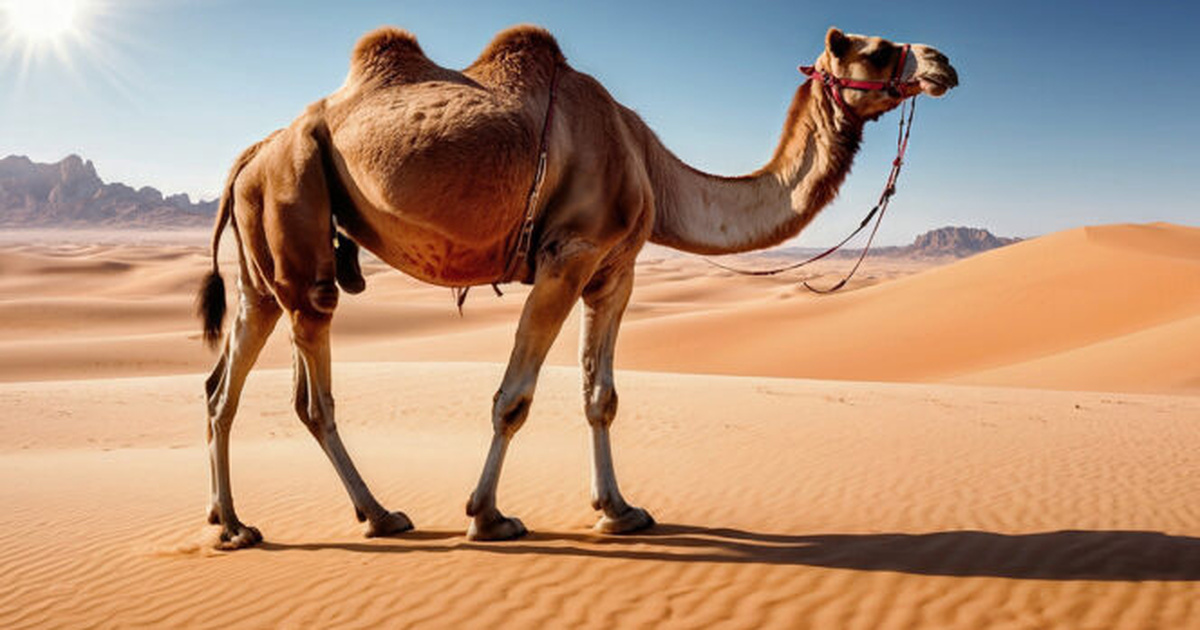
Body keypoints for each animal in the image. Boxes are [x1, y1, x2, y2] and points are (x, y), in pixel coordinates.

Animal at [196, 24, 958, 548]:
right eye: (877, 49)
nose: (944, 63)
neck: (647, 160)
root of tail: (252, 153)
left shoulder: (614, 272)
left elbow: (602, 396)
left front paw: (619, 511)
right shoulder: (569, 255)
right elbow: (514, 399)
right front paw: (487, 517)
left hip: (265, 260)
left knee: (221, 385)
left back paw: (232, 524)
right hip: (297, 212)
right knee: (311, 390)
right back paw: (379, 516)